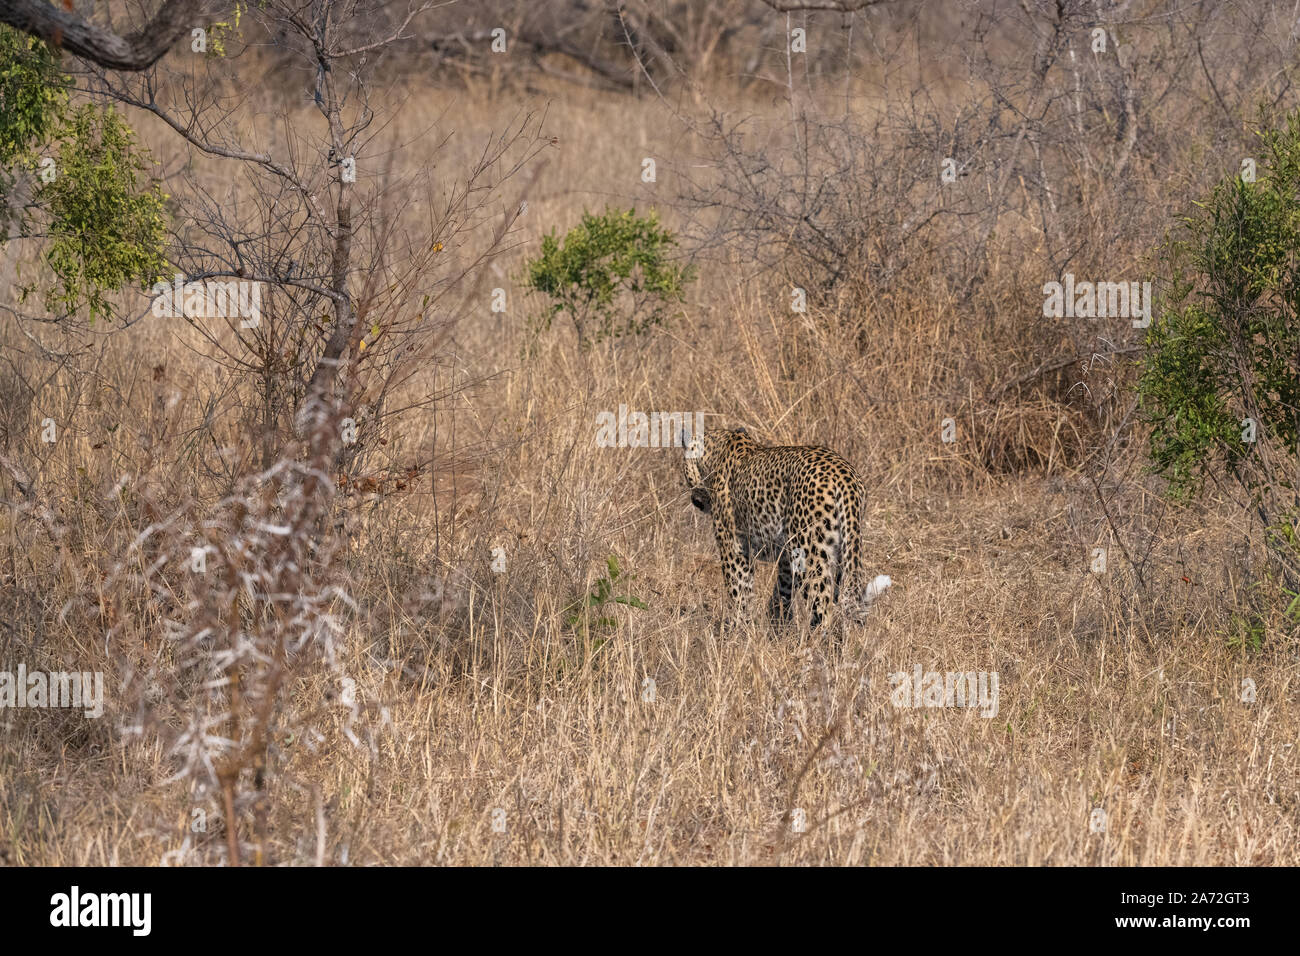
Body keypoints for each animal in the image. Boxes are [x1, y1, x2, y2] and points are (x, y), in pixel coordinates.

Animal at [683, 428, 891, 629]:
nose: (695, 500)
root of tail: (844, 476)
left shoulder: (733, 547)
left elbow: (738, 592)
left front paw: (737, 630)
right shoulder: (783, 556)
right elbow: (780, 591)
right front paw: (778, 626)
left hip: (810, 553)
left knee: (823, 606)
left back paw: (812, 638)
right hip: (842, 548)